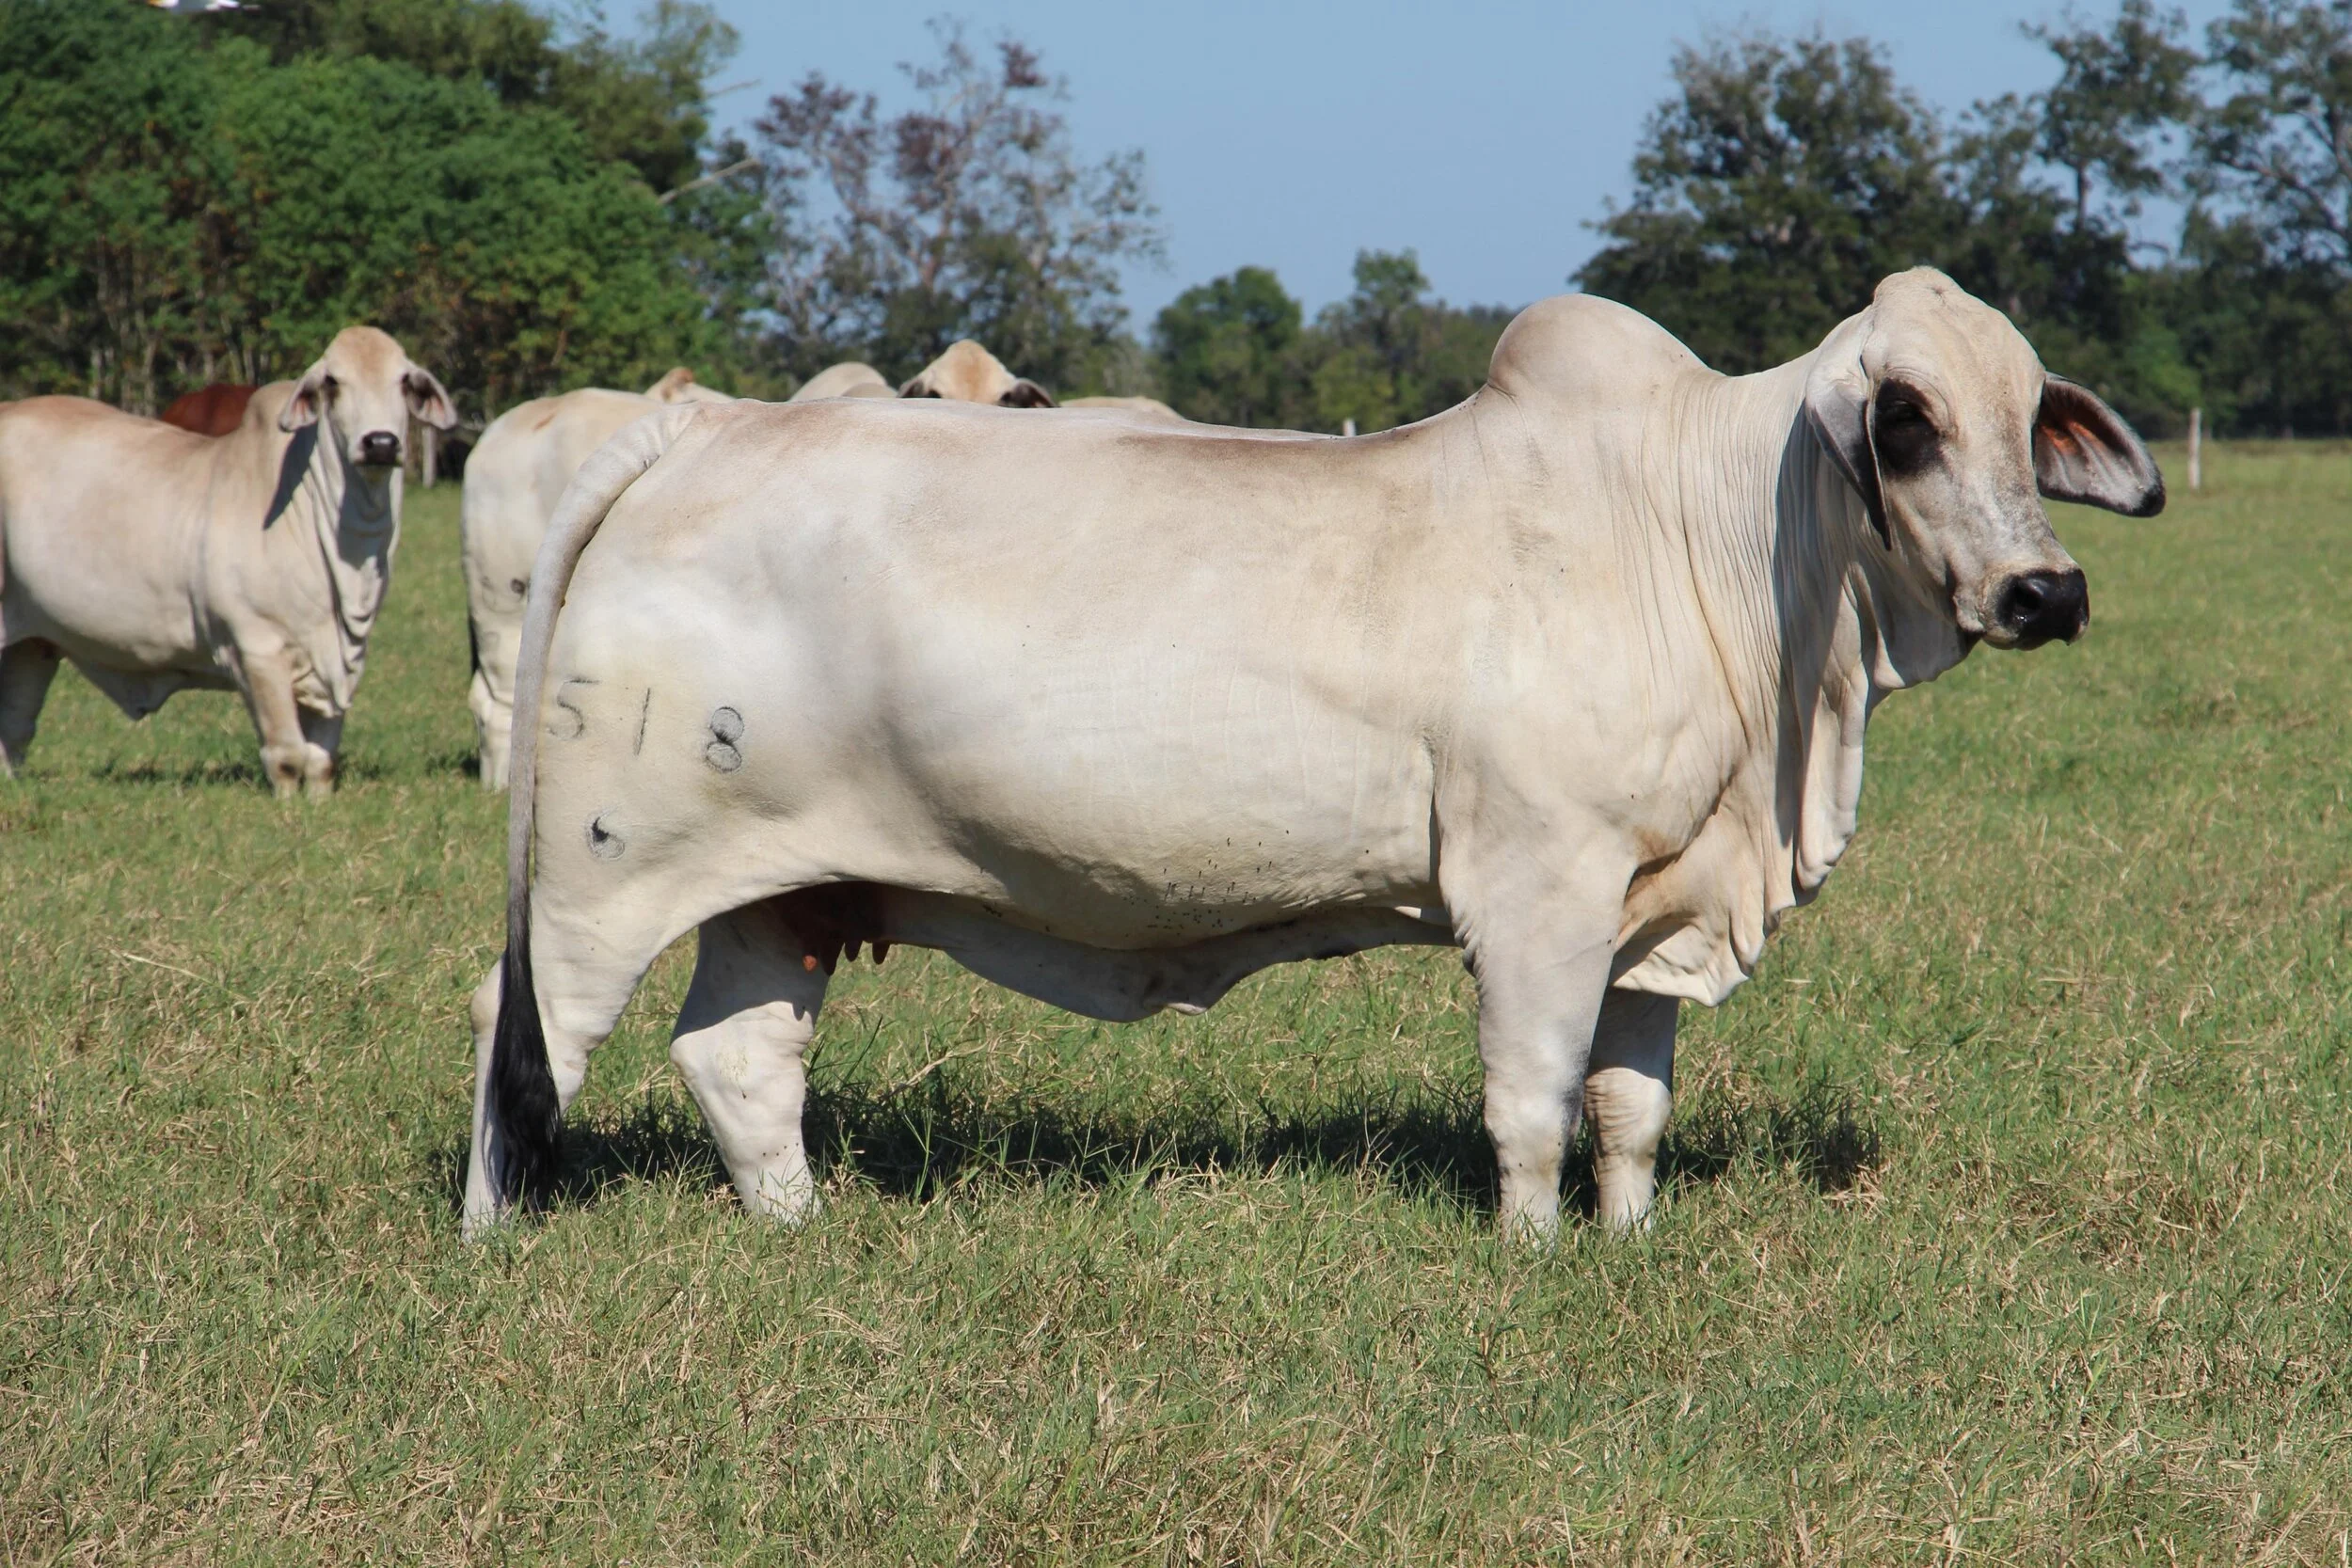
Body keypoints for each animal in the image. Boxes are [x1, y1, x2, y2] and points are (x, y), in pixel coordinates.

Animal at [0, 326, 455, 797]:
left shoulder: (341, 662)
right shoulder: (257, 648)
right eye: (332, 382)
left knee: (15, 726)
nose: (380, 443)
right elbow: (287, 754)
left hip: (32, 644)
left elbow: (321, 760)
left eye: (404, 381)